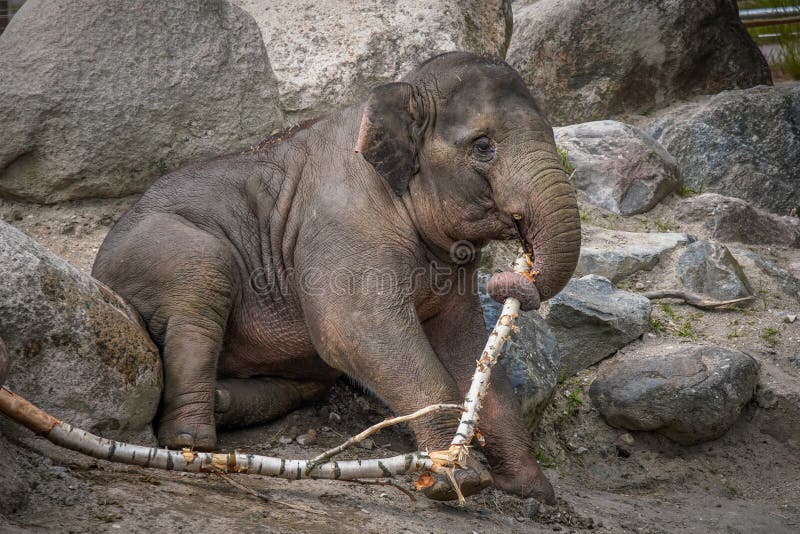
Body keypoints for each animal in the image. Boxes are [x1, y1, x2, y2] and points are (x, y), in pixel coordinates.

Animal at [92, 52, 581, 503]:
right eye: (483, 146)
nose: (517, 272)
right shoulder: (343, 224)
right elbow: (355, 330)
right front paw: (455, 478)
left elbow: (466, 347)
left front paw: (531, 491)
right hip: (161, 252)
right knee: (203, 280)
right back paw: (191, 443)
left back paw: (218, 407)